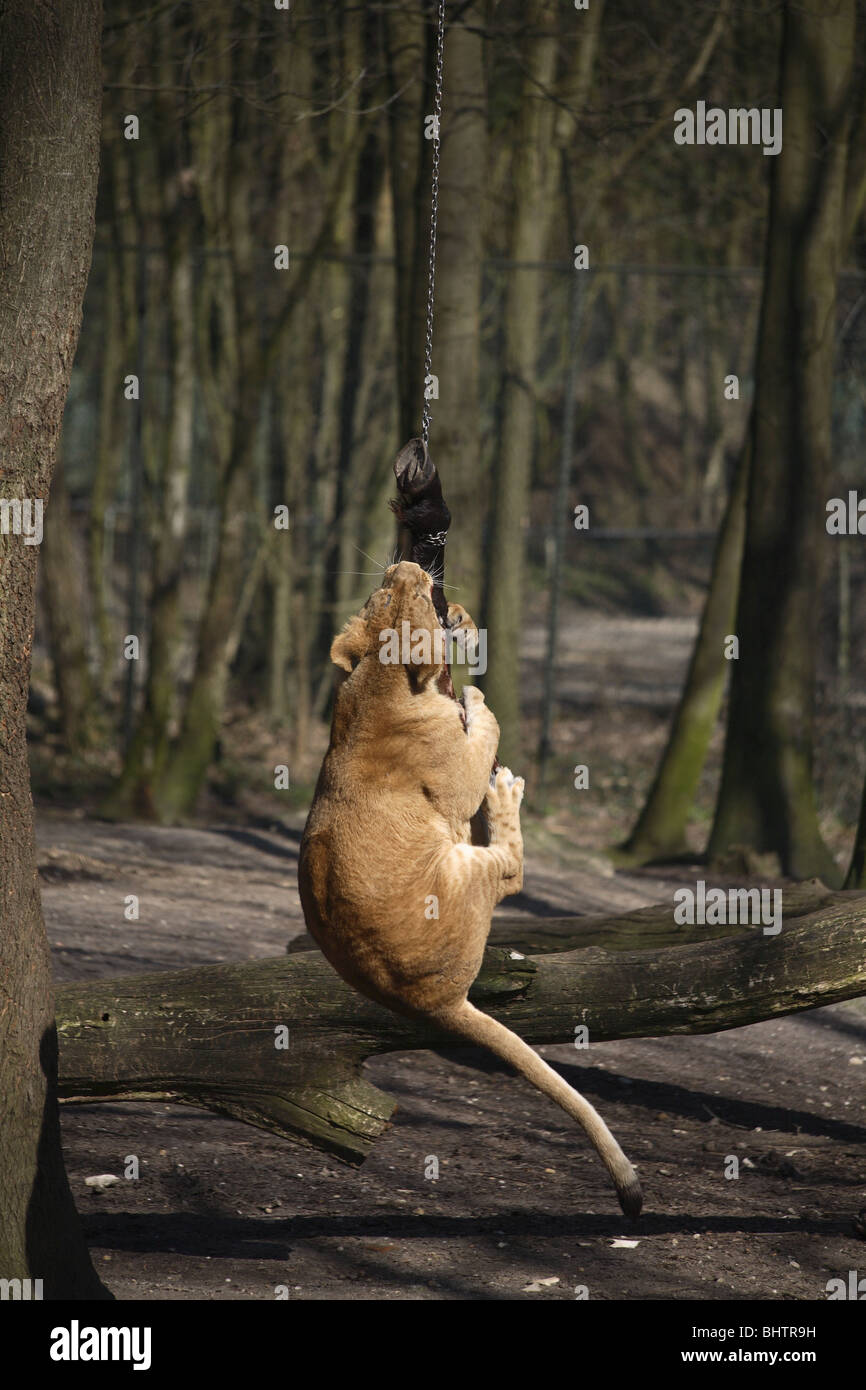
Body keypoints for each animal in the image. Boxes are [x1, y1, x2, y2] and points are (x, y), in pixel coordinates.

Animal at [298, 560, 642, 1218]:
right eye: (405, 592)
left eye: (382, 590)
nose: (406, 564)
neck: (377, 680)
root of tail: (437, 1004)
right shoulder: (456, 773)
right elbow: (489, 729)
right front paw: (478, 692)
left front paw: (463, 620)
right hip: (463, 866)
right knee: (510, 867)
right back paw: (505, 791)